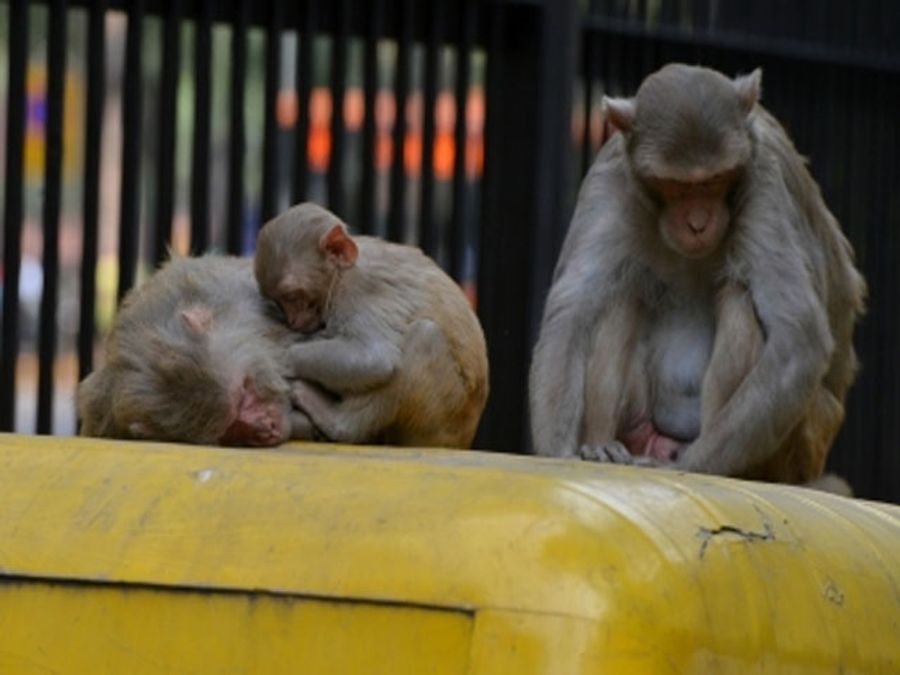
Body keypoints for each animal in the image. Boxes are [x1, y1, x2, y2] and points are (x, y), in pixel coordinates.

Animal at [254, 202, 489, 448]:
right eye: (279, 301)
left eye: (291, 296)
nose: (292, 320)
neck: (342, 273)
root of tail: (464, 437)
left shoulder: (360, 290)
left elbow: (375, 357)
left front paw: (280, 356)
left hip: (443, 417)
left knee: (424, 335)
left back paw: (338, 423)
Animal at [529, 63, 866, 484]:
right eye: (676, 185)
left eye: (714, 180)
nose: (697, 223)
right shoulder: (611, 177)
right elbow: (572, 309)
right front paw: (557, 453)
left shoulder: (765, 181)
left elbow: (799, 338)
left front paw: (688, 467)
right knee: (619, 296)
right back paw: (603, 444)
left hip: (802, 443)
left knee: (738, 298)